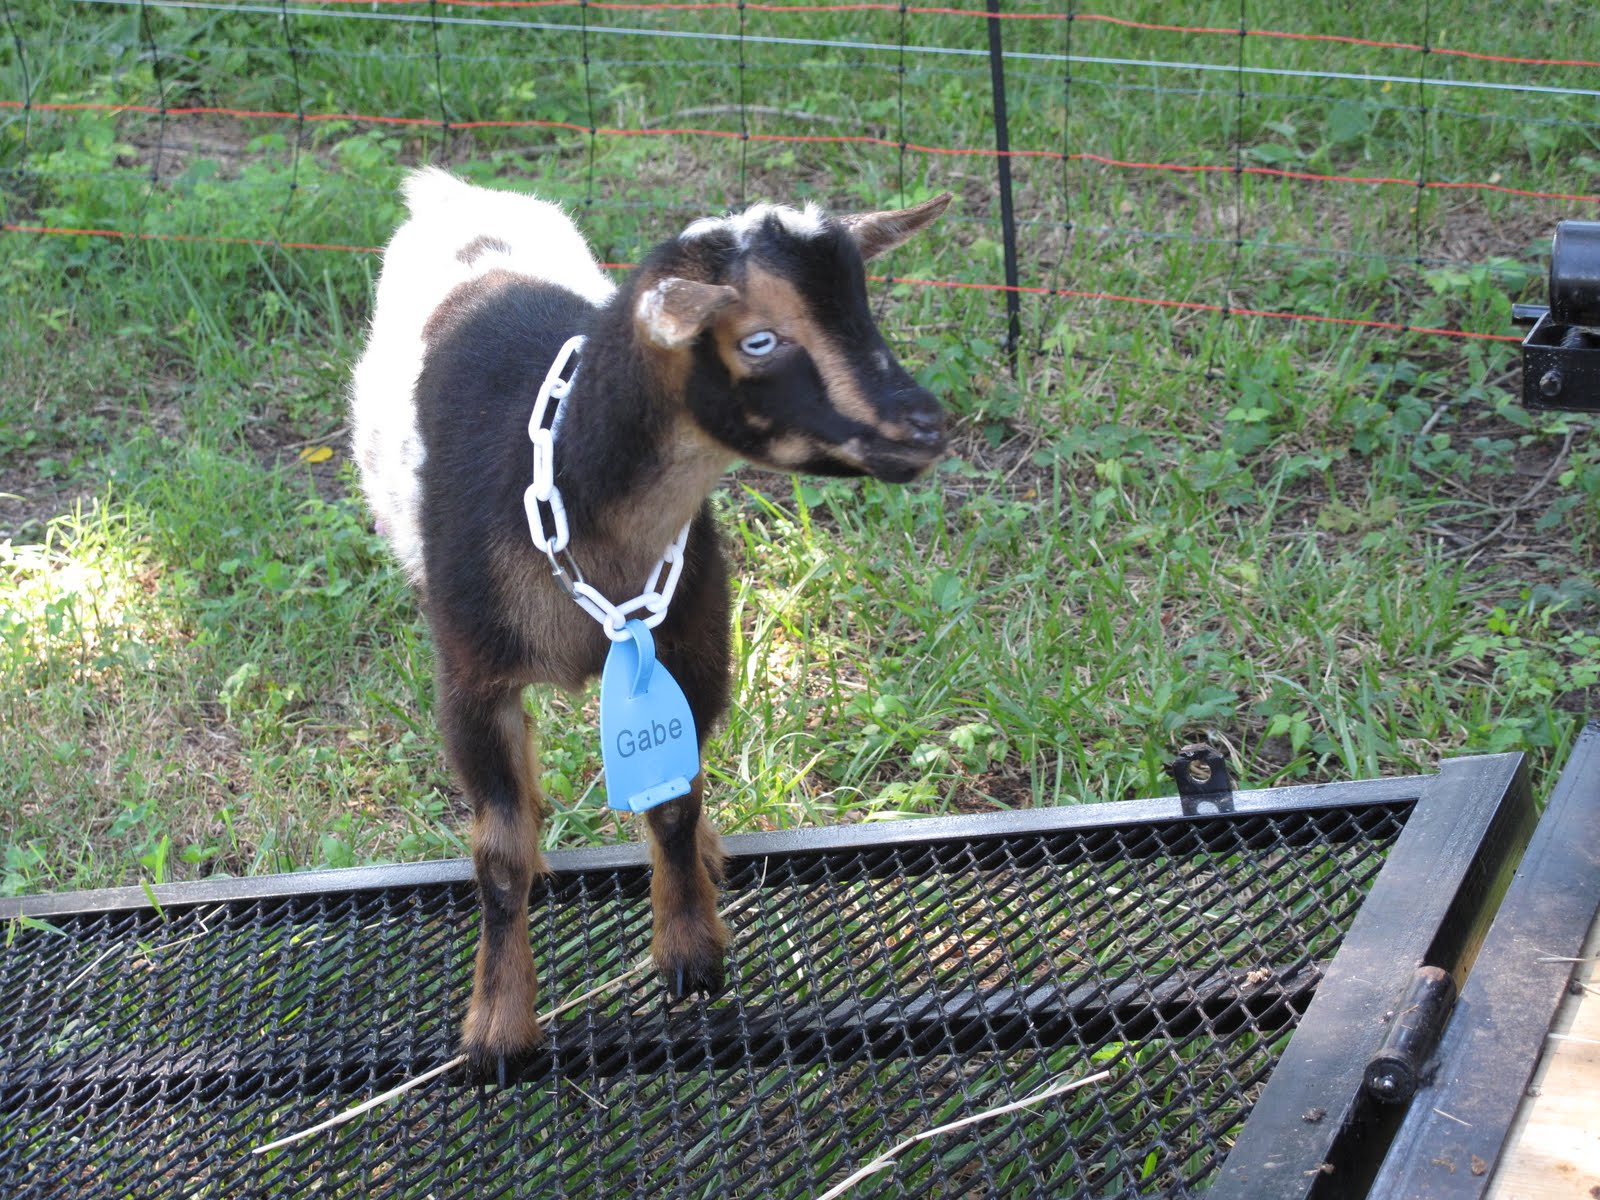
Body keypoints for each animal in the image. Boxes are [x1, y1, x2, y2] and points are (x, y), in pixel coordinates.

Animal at [351, 167, 950, 1076]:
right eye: (759, 340)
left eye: (865, 308)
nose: (925, 426)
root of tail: (449, 191)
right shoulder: (470, 680)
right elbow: (498, 855)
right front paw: (497, 1026)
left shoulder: (693, 644)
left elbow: (674, 800)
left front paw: (688, 948)